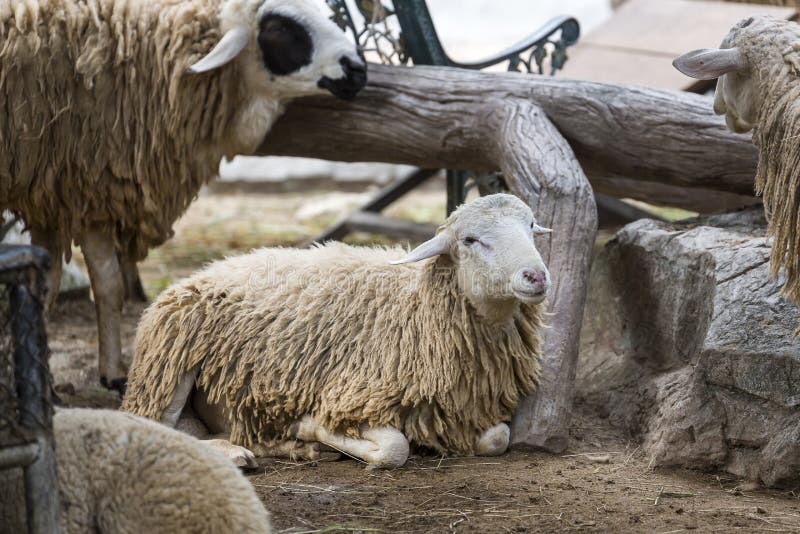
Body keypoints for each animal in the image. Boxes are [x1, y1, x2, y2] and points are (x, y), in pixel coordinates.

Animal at [0, 0, 366, 393]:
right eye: (280, 28)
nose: (359, 70)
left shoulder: (52, 192)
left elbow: (54, 280)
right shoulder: (86, 188)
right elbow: (106, 284)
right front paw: (105, 373)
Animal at [121, 193, 552, 469]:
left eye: (532, 226)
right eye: (470, 240)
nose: (536, 276)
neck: (415, 309)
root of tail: (208, 268)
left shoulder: (461, 412)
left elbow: (497, 438)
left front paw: (303, 438)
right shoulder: (351, 396)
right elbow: (393, 448)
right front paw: (309, 427)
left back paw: (282, 449)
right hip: (168, 363)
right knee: (150, 425)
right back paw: (241, 452)